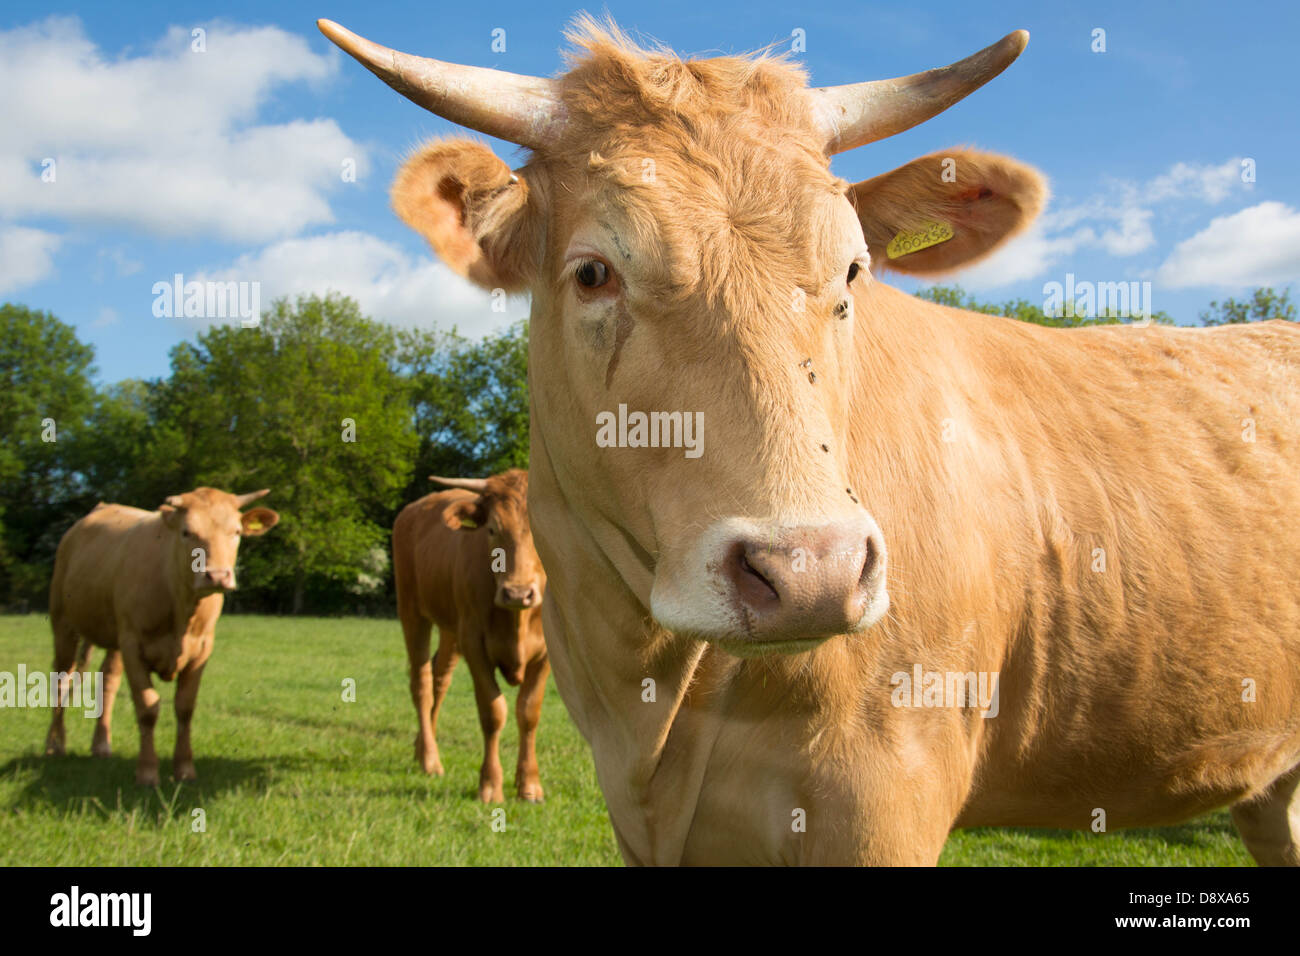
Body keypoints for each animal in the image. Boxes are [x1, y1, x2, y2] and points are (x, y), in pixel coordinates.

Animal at [44, 488, 279, 786]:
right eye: (187, 532)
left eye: (236, 531)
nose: (216, 575)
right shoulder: (133, 645)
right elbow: (147, 708)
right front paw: (147, 772)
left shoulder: (202, 649)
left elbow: (185, 708)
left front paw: (185, 768)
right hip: (63, 623)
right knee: (61, 679)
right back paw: (54, 745)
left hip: (113, 635)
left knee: (108, 679)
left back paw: (101, 744)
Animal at [392, 470, 549, 802]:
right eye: (492, 529)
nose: (518, 593)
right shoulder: (474, 643)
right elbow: (493, 712)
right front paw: (490, 785)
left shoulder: (546, 653)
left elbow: (529, 711)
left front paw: (529, 784)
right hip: (412, 612)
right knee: (422, 684)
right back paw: (430, 759)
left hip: (451, 629)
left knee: (439, 679)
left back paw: (421, 747)